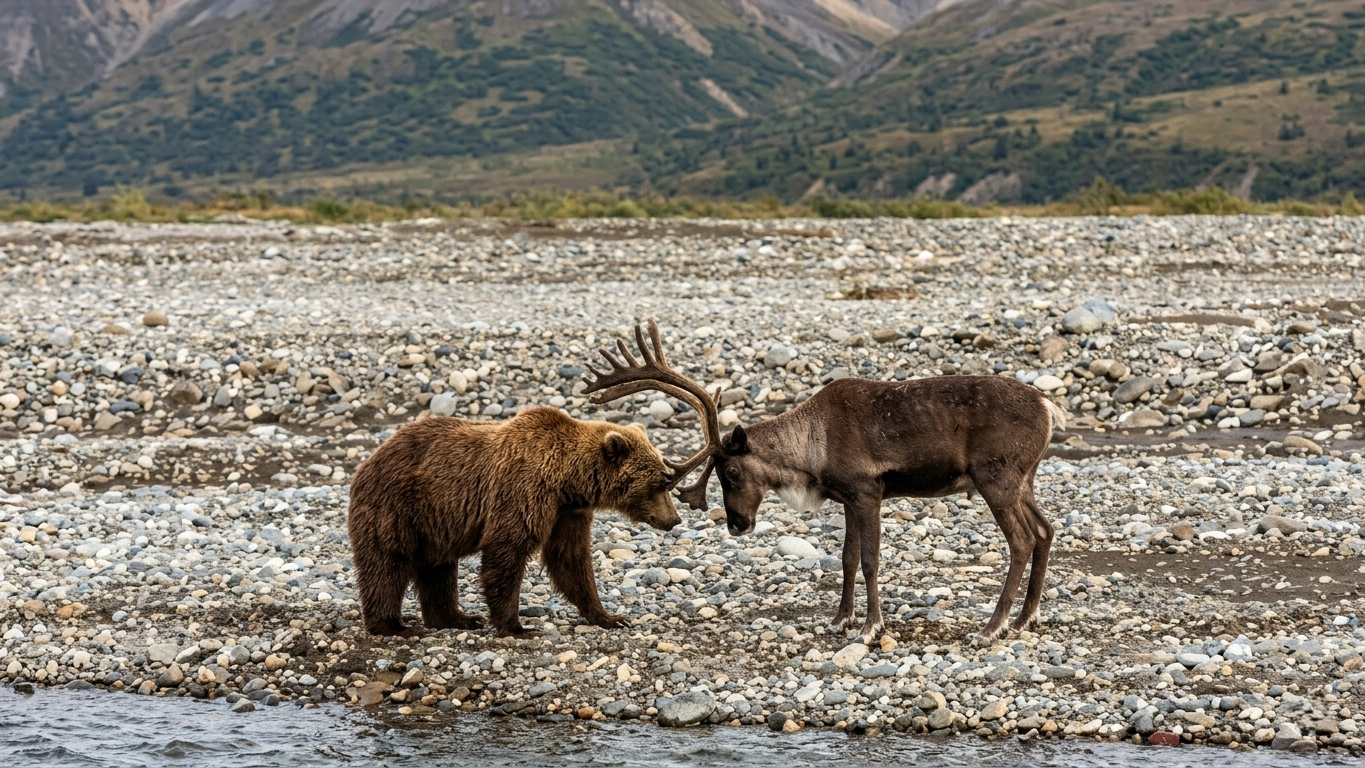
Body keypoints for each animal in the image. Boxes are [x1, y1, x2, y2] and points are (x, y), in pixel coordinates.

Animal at [347, 406, 681, 637]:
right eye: (662, 481)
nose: (674, 519)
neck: (566, 480)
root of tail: (370, 458)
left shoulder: (568, 513)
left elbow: (570, 559)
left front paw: (610, 617)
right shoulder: (523, 492)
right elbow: (507, 554)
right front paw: (517, 627)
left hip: (435, 522)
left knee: (437, 569)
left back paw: (459, 618)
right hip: (397, 507)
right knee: (387, 564)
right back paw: (393, 625)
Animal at [583, 320, 1066, 645]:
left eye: (731, 472)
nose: (737, 525)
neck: (811, 448)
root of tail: (1049, 406)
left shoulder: (868, 492)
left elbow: (870, 560)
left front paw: (870, 628)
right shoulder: (848, 498)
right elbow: (847, 558)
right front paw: (840, 619)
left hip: (996, 477)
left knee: (1022, 539)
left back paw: (991, 629)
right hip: (1023, 479)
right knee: (1045, 530)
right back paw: (1025, 619)